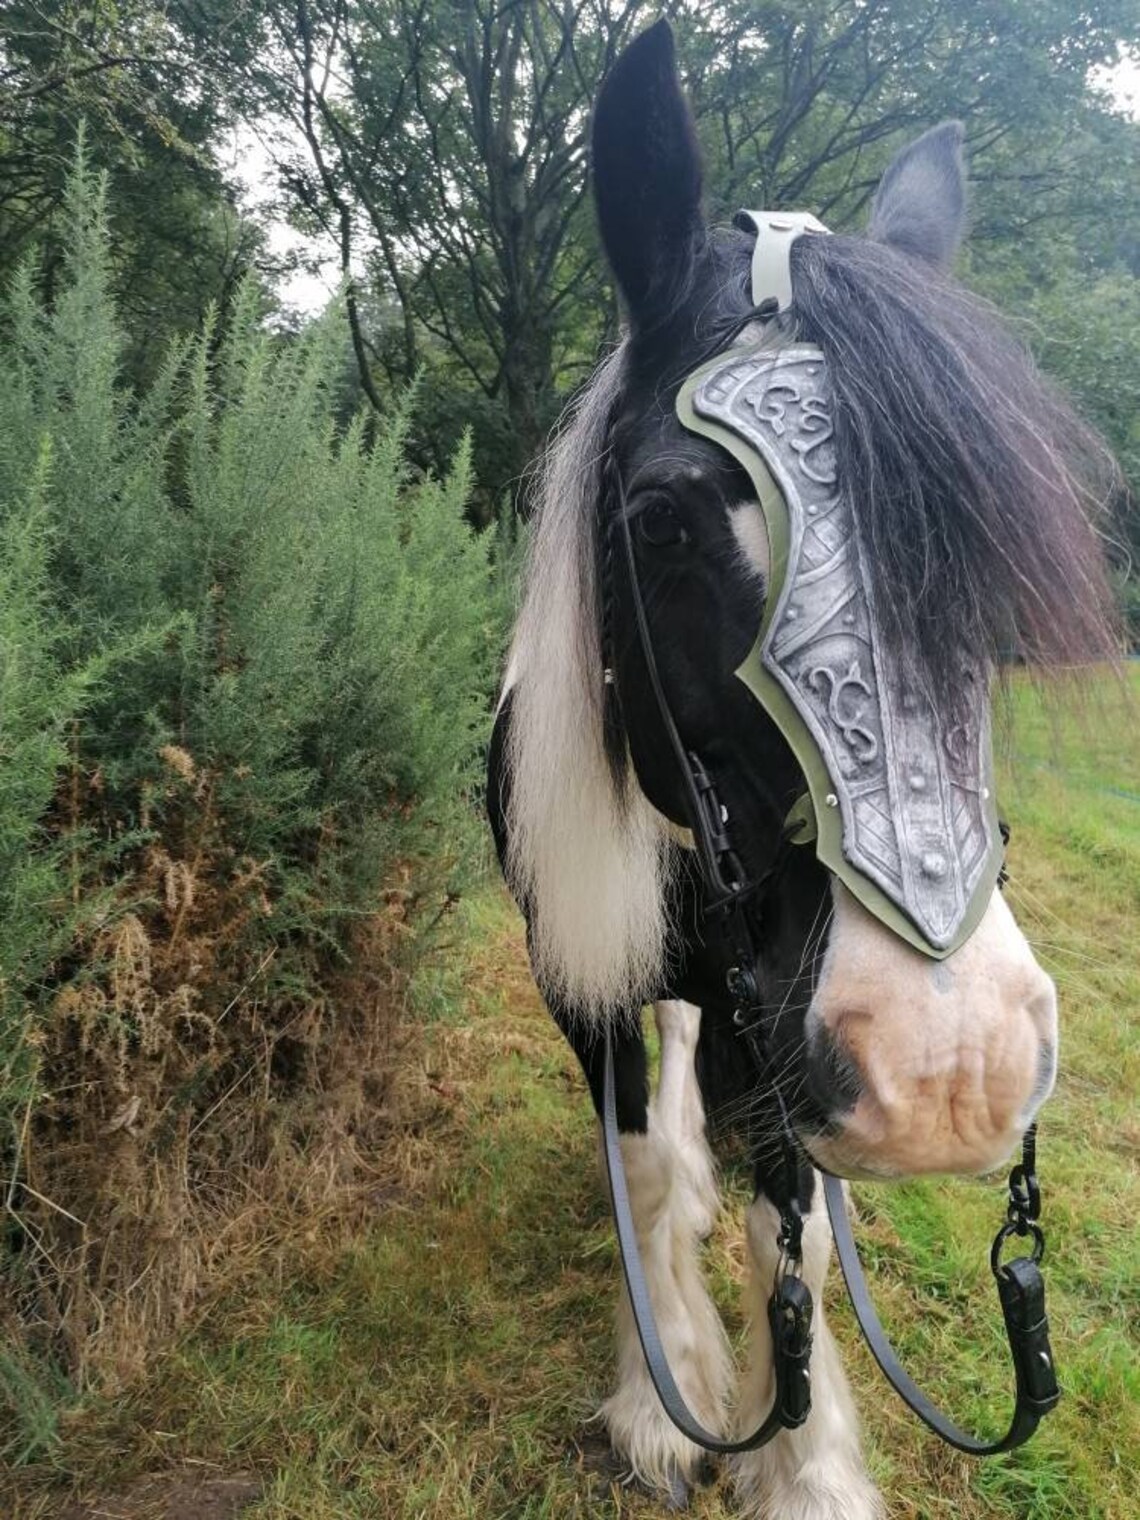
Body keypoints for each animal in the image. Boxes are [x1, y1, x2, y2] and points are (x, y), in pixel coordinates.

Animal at [486, 20, 1116, 1518]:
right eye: (659, 522)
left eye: (972, 544)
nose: (953, 1067)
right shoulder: (586, 977)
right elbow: (646, 1164)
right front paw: (666, 1398)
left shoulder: (788, 1038)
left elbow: (806, 1236)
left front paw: (808, 1457)